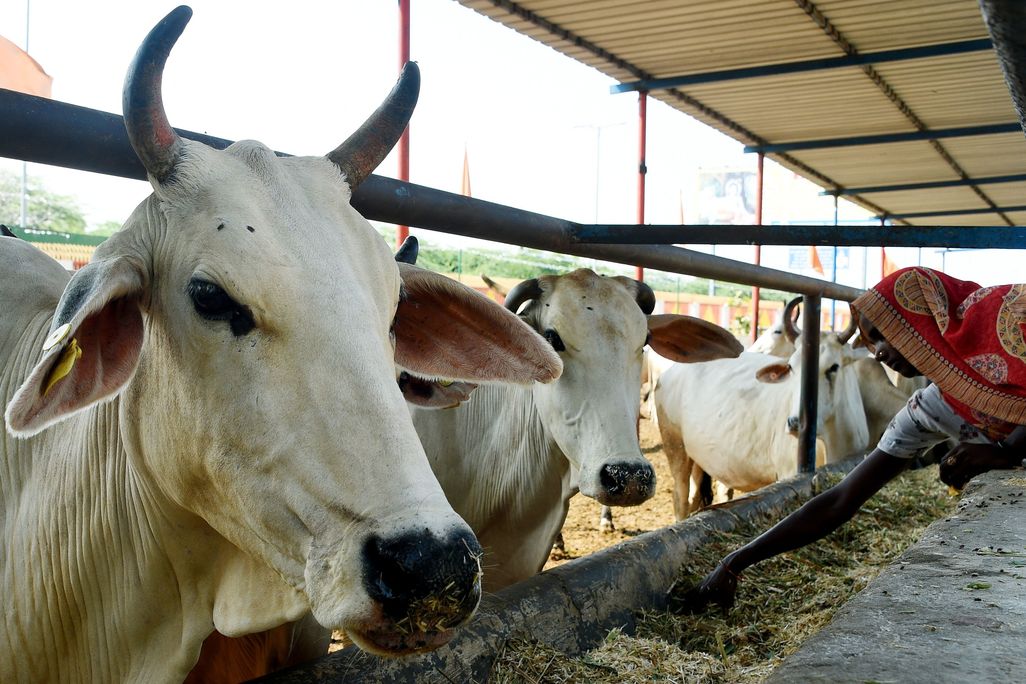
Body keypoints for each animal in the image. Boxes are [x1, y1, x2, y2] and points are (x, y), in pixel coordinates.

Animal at [655, 319, 869, 519]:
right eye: (791, 367)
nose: (794, 423)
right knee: (681, 497)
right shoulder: (788, 472)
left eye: (834, 367)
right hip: (675, 446)